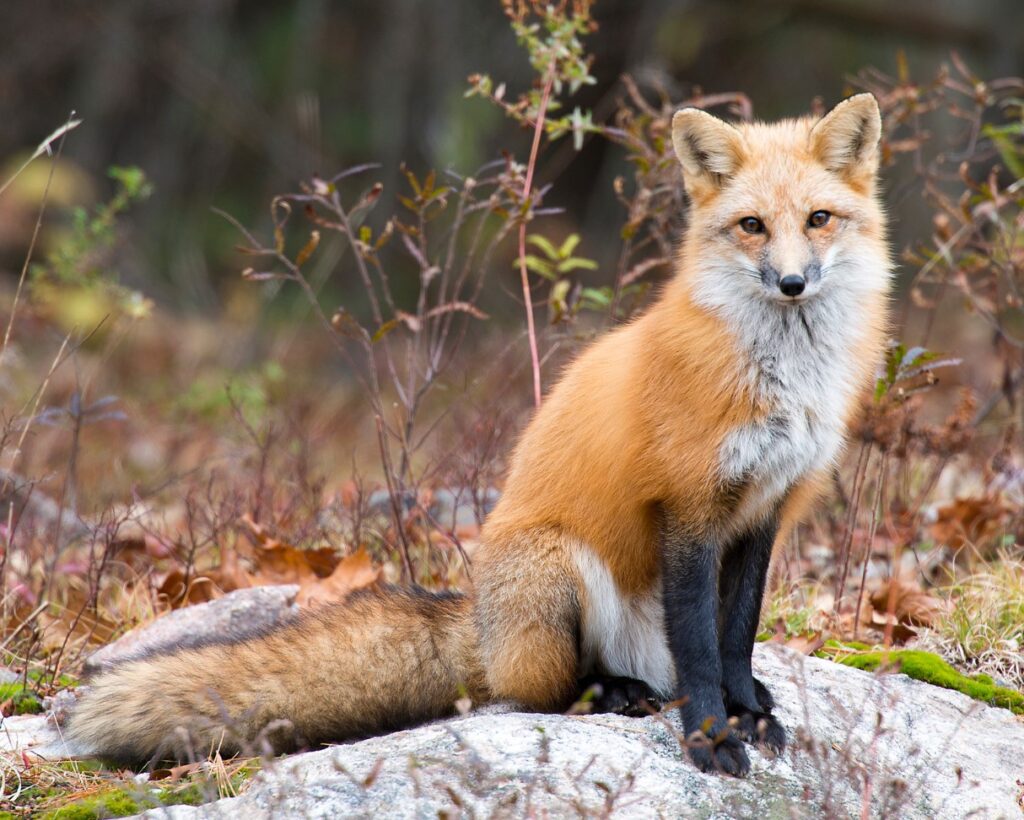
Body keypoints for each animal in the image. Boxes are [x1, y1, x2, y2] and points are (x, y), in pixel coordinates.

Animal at [67, 93, 891, 776]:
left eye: (818, 219)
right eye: (752, 226)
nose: (793, 283)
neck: (783, 379)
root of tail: (483, 622)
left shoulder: (765, 509)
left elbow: (735, 632)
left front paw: (746, 712)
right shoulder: (688, 509)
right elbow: (697, 649)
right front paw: (712, 738)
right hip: (555, 571)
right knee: (540, 690)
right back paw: (610, 690)